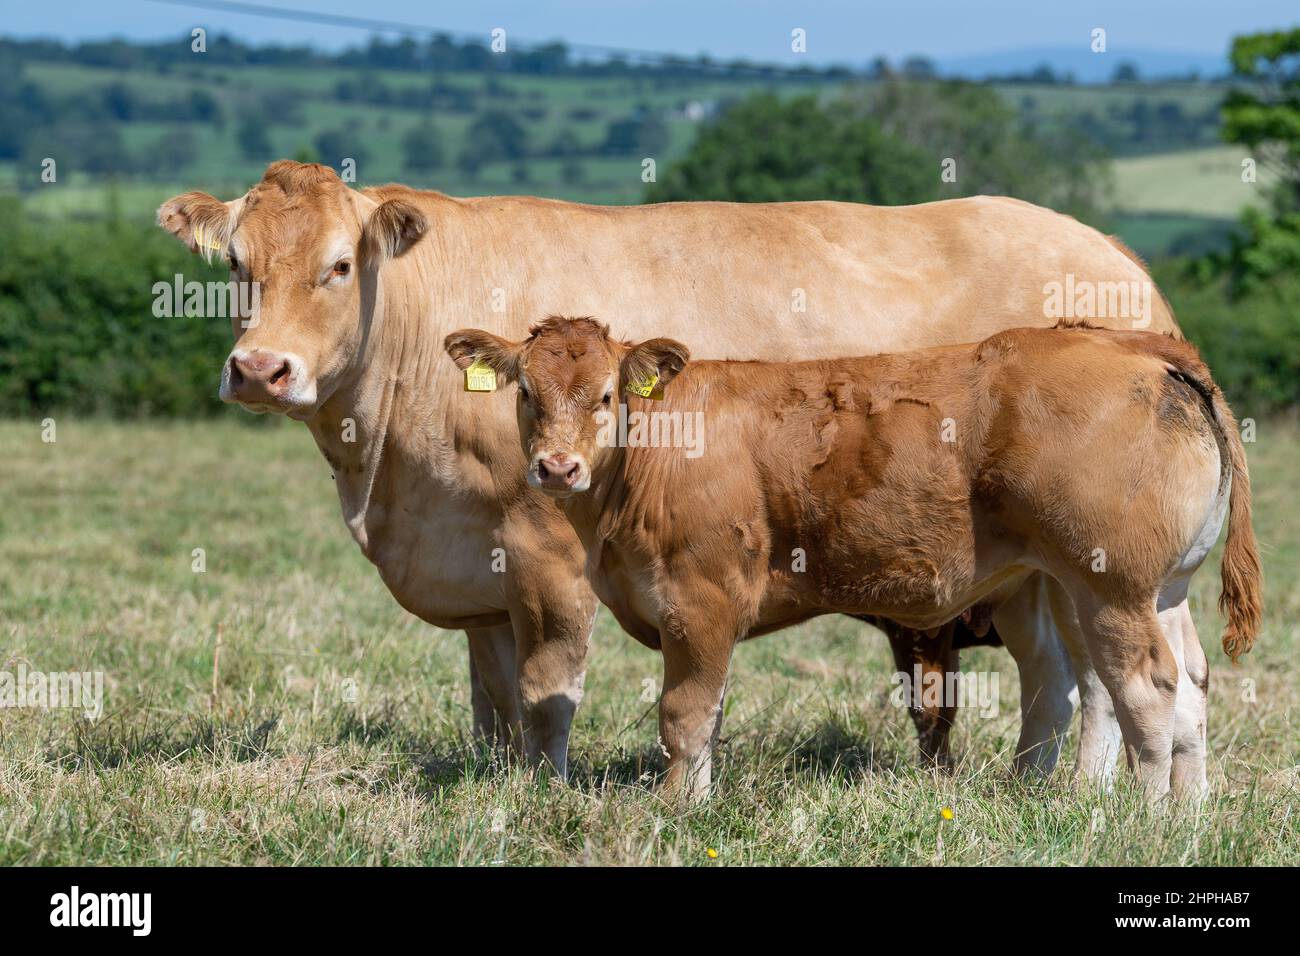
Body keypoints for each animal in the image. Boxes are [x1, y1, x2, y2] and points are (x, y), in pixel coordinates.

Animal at [158, 160, 1188, 782]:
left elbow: (548, 690)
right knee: (1063, 671)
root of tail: (1106, 250)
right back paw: (1032, 787)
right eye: (238, 263)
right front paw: (503, 782)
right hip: (1033, 570)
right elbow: (492, 703)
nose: (260, 368)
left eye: (339, 265)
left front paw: (547, 793)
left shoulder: (544, 548)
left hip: (1094, 557)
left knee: (1117, 676)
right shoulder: (478, 562)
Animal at [444, 316, 1261, 800]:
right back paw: (1182, 815)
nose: (556, 467)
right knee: (1182, 688)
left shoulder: (700, 601)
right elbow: (706, 719)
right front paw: (698, 803)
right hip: (1153, 590)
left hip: (1111, 588)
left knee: (1147, 692)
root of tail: (1140, 347)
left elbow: (683, 716)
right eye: (526, 391)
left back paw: (1143, 823)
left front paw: (675, 811)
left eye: (607, 394)